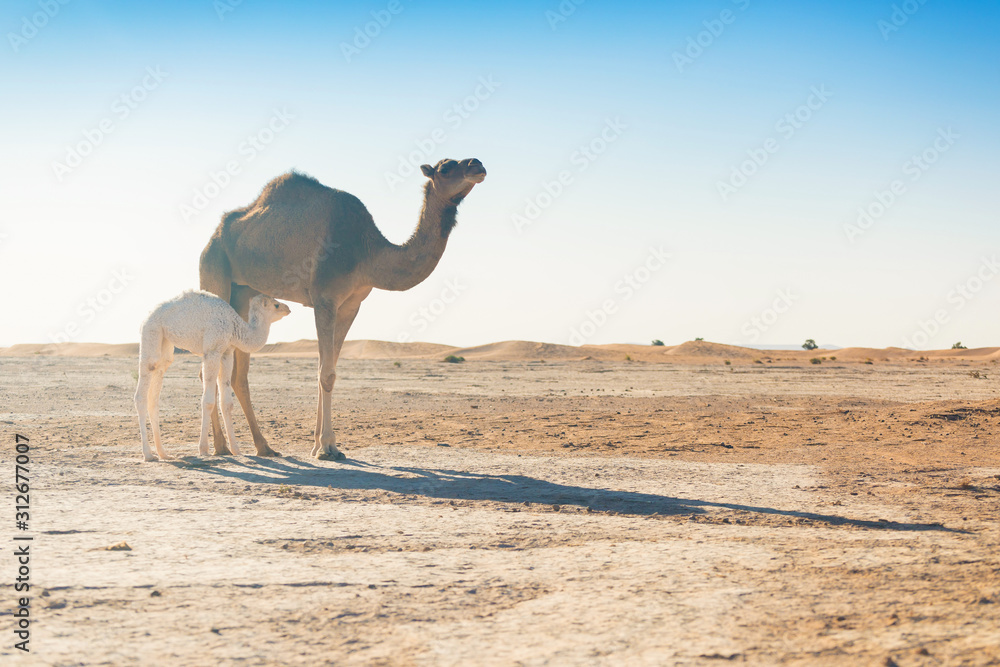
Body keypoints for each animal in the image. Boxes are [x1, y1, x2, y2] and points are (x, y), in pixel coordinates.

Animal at [135, 291, 291, 461]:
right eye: (276, 305)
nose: (288, 308)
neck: (233, 326)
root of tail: (145, 318)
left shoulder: (227, 352)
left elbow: (227, 403)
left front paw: (236, 449)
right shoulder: (213, 350)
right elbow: (208, 401)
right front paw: (203, 449)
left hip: (165, 343)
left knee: (156, 388)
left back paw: (163, 453)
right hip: (151, 332)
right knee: (143, 387)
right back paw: (148, 454)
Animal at [199, 158, 487, 460]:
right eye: (446, 168)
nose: (477, 165)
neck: (366, 250)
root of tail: (212, 237)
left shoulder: (351, 304)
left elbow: (327, 369)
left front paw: (322, 445)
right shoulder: (324, 297)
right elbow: (327, 373)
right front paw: (326, 448)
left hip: (244, 293)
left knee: (238, 376)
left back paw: (263, 447)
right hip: (213, 269)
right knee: (209, 369)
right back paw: (220, 447)